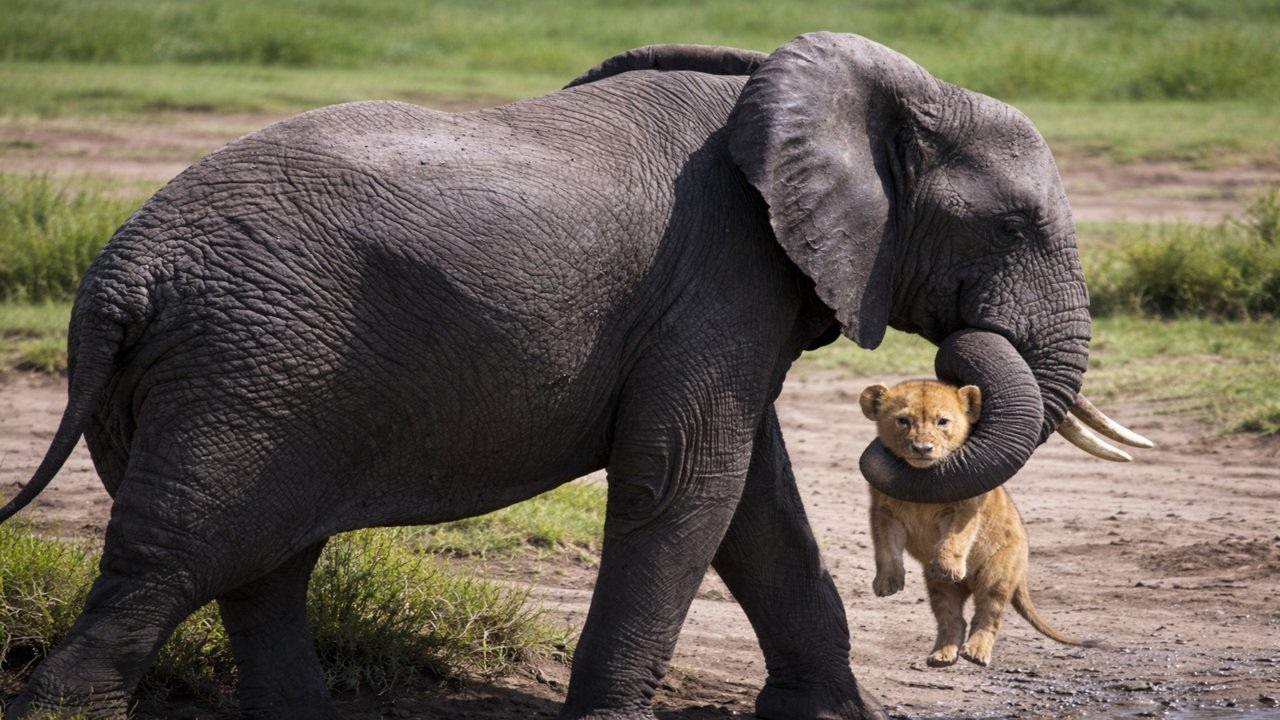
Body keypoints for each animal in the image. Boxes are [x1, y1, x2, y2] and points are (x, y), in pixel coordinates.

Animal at [859, 379, 1102, 667]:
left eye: (942, 421)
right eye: (903, 421)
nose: (922, 449)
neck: (919, 476)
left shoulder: (965, 506)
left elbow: (955, 538)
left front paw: (949, 566)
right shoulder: (883, 511)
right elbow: (885, 546)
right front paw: (887, 582)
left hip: (998, 572)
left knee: (989, 614)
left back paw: (976, 652)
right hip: (938, 588)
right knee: (952, 617)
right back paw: (942, 655)